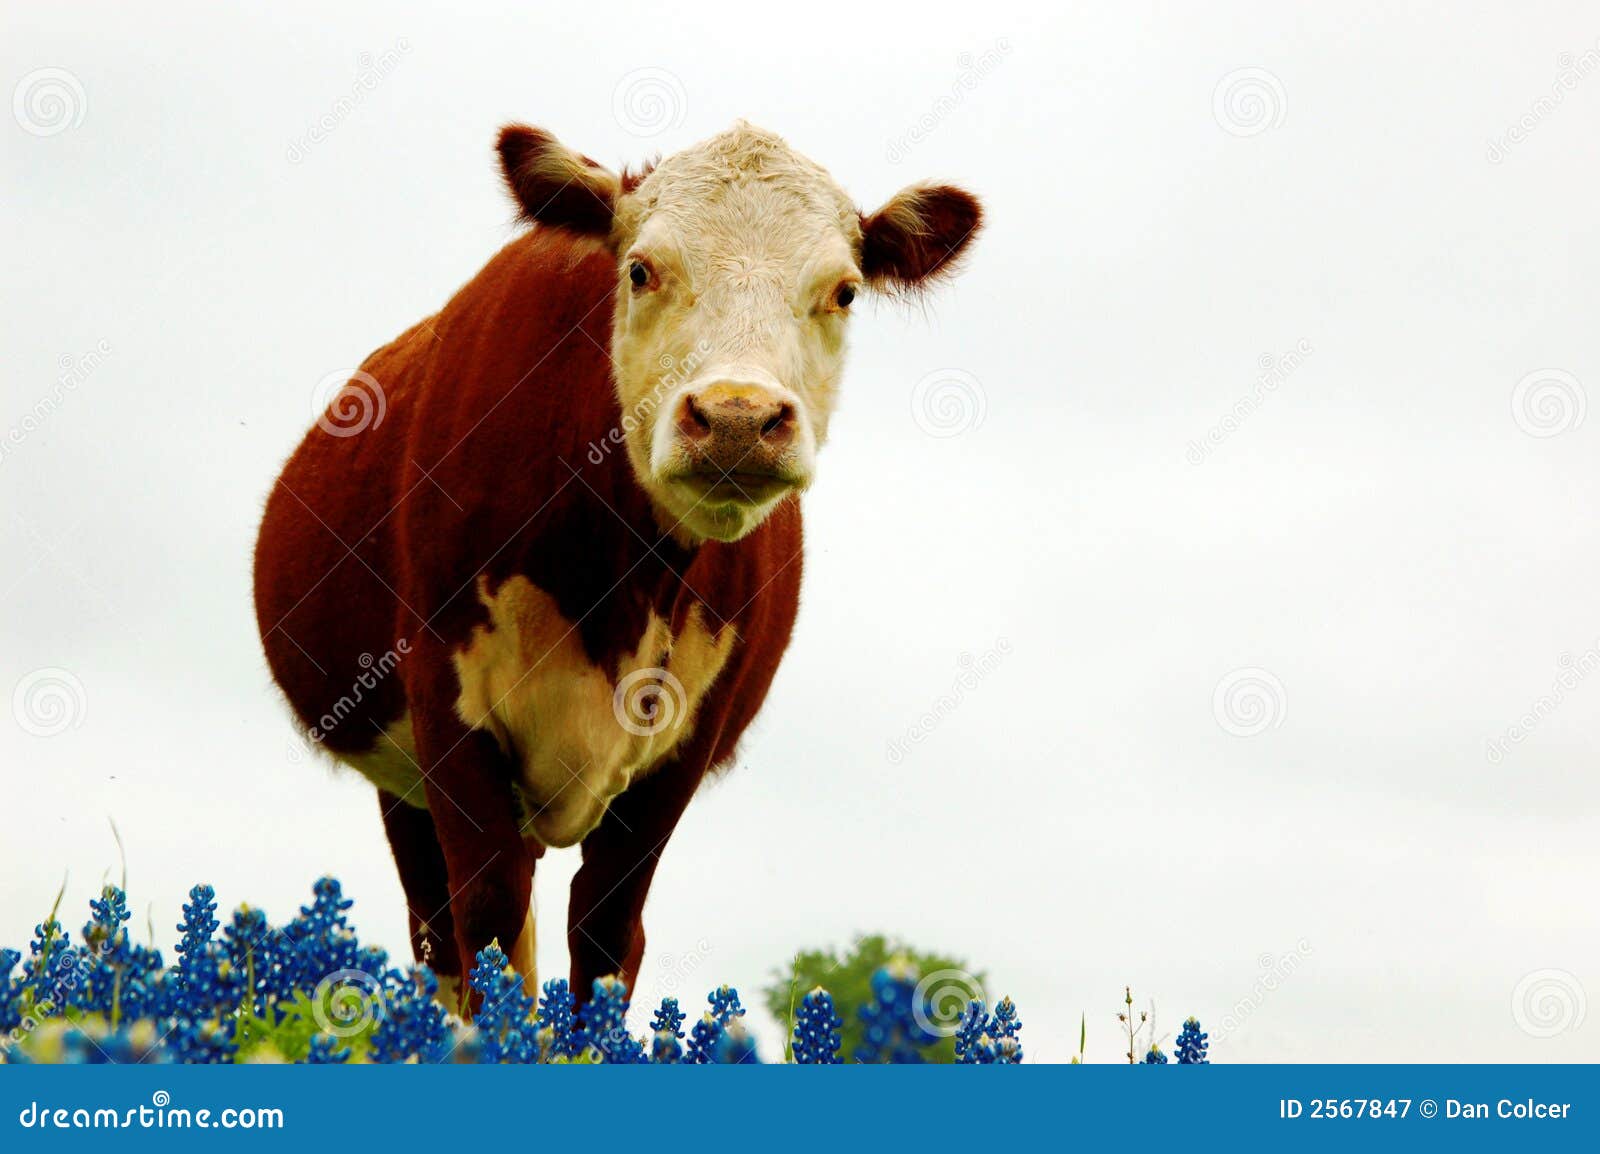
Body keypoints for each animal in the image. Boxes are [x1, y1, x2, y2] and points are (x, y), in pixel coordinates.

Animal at [253, 121, 981, 1010]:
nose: (736, 419)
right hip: (403, 782)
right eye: (640, 268)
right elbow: (487, 923)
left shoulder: (683, 745)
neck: (617, 580)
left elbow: (604, 933)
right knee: (442, 937)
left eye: (844, 291)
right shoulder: (443, 705)